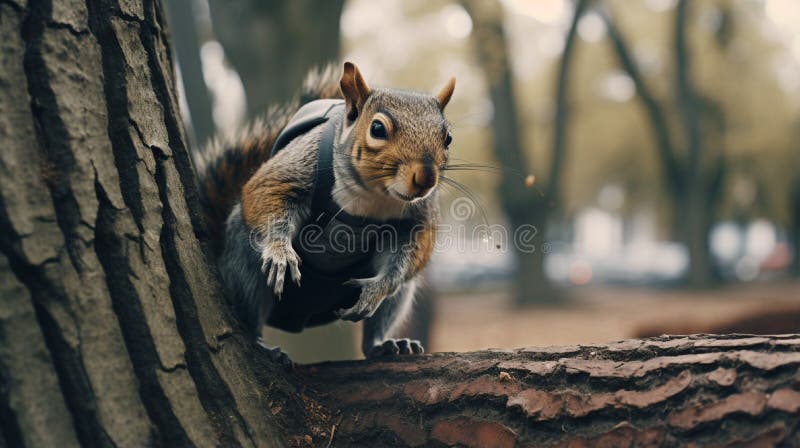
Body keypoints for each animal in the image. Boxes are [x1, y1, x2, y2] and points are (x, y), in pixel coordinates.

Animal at [194, 62, 455, 363]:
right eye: (377, 128)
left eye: (448, 137)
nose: (426, 178)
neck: (372, 194)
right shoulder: (299, 165)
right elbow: (267, 189)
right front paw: (280, 252)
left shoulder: (416, 218)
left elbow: (410, 252)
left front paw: (376, 289)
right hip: (243, 261)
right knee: (249, 311)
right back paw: (261, 344)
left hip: (392, 298)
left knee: (380, 322)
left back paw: (385, 345)